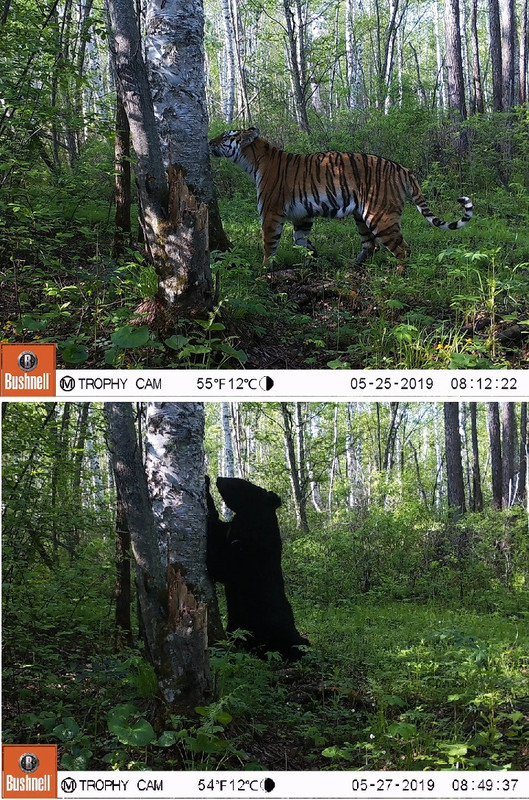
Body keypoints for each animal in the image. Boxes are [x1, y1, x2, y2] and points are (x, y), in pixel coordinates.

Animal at [209, 127, 473, 270]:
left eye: (225, 136)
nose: (209, 142)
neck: (252, 160)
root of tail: (403, 168)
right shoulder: (302, 216)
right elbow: (302, 242)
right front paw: (311, 261)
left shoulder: (271, 213)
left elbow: (269, 244)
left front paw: (264, 270)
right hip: (361, 215)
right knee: (370, 245)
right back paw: (352, 266)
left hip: (380, 216)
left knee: (403, 249)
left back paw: (398, 275)